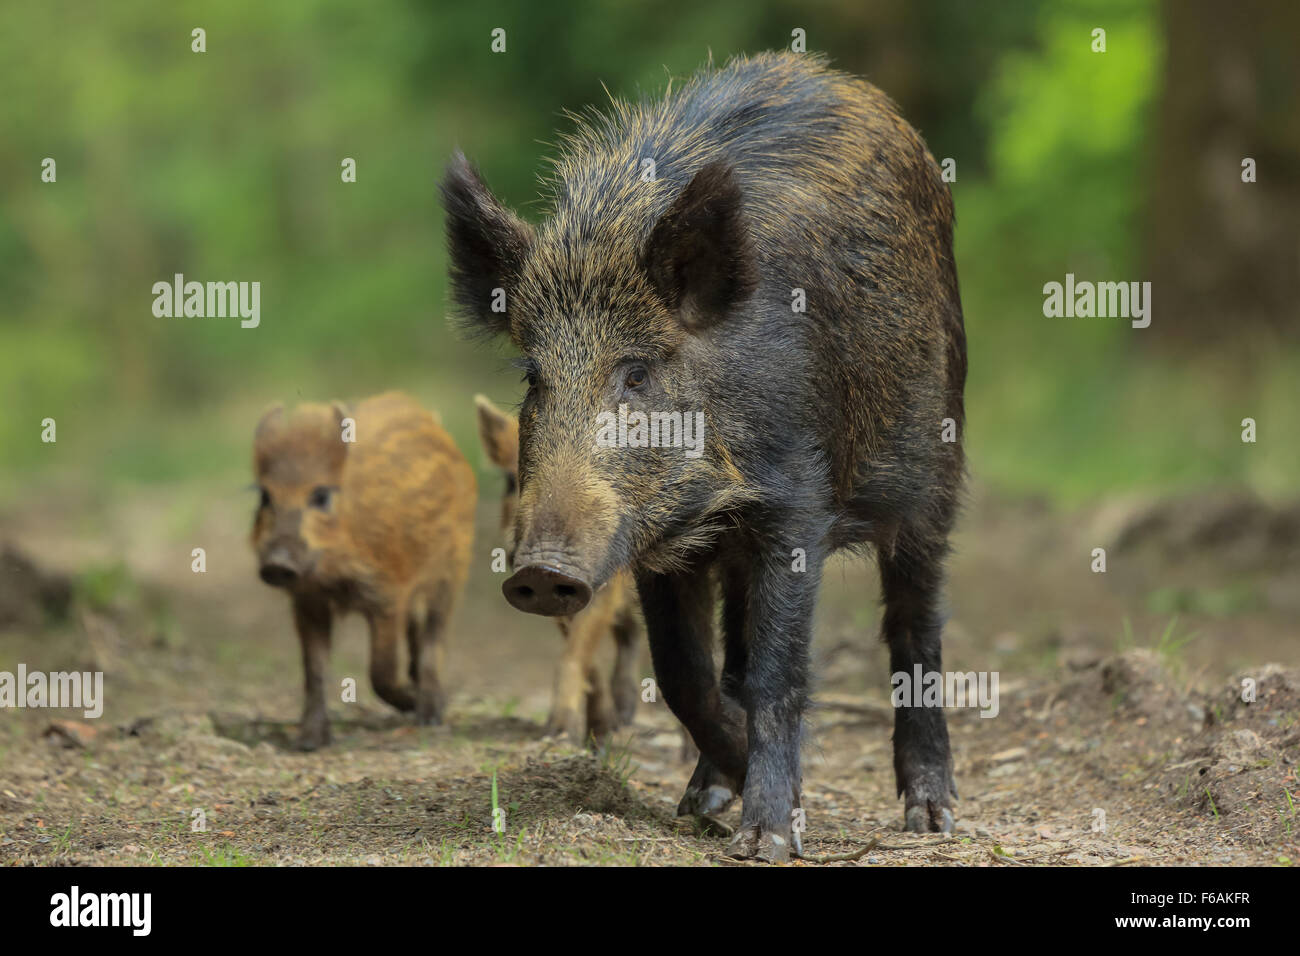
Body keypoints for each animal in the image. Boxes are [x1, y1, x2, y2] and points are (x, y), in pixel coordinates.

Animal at [251, 392, 476, 750]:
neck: (334, 577)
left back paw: (430, 713)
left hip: (453, 570)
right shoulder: (307, 601)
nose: (277, 563)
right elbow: (314, 668)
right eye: (264, 496)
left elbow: (380, 670)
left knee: (435, 632)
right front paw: (309, 742)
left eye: (321, 495)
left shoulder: (388, 594)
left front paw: (410, 703)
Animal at [442, 52, 966, 861]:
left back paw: (931, 816)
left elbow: (780, 672)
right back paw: (706, 796)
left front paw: (767, 838)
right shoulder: (660, 538)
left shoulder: (796, 509)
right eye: (533, 377)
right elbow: (685, 673)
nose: (540, 573)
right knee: (731, 657)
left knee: (916, 622)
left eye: (636, 374)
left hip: (937, 466)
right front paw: (711, 803)